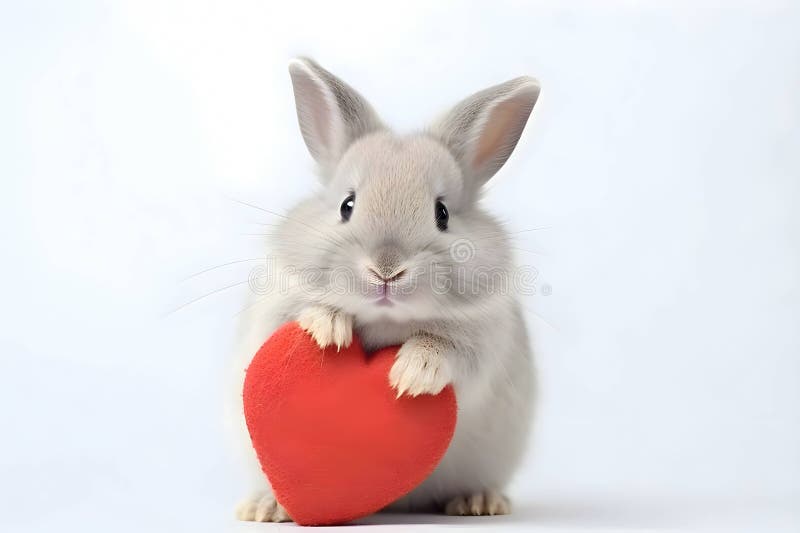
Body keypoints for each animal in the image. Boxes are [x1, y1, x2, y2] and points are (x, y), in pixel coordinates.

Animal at [230, 57, 540, 522]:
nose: (387, 270)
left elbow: (448, 351)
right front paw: (329, 330)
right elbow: (305, 313)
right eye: (347, 205)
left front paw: (411, 373)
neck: (384, 318)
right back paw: (265, 508)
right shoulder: (275, 313)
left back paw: (479, 502)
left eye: (442, 214)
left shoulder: (483, 341)